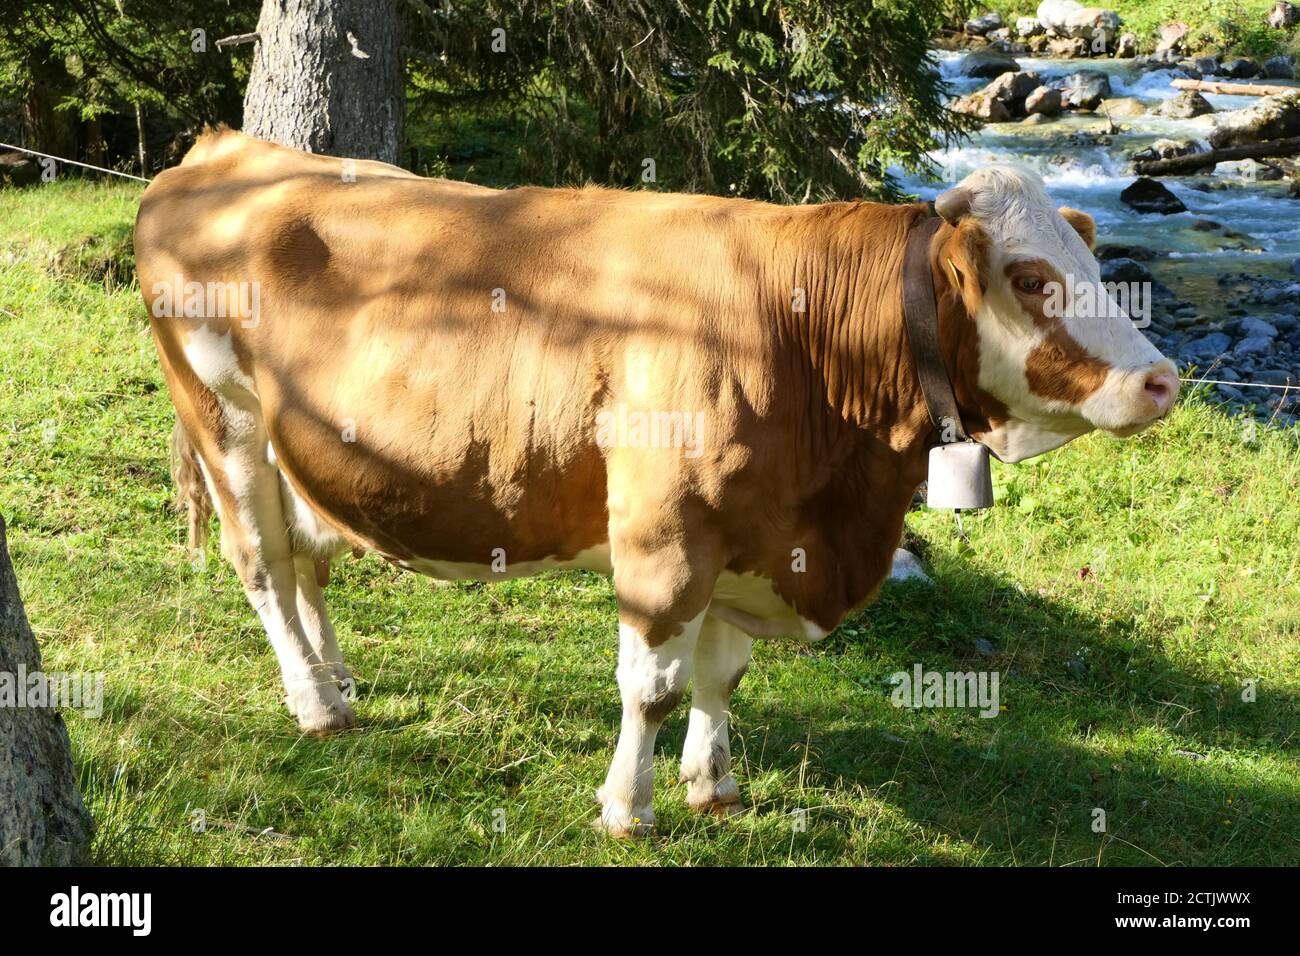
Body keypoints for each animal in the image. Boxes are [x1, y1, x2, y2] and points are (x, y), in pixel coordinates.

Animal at [134, 131, 1178, 836]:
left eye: (1090, 262)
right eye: (1032, 278)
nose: (1163, 379)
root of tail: (225, 148)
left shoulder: (752, 533)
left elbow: (724, 673)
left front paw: (711, 785)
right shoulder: (666, 535)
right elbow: (654, 687)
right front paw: (626, 806)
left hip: (299, 449)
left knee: (307, 560)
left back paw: (335, 683)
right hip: (222, 418)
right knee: (263, 562)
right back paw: (311, 705)